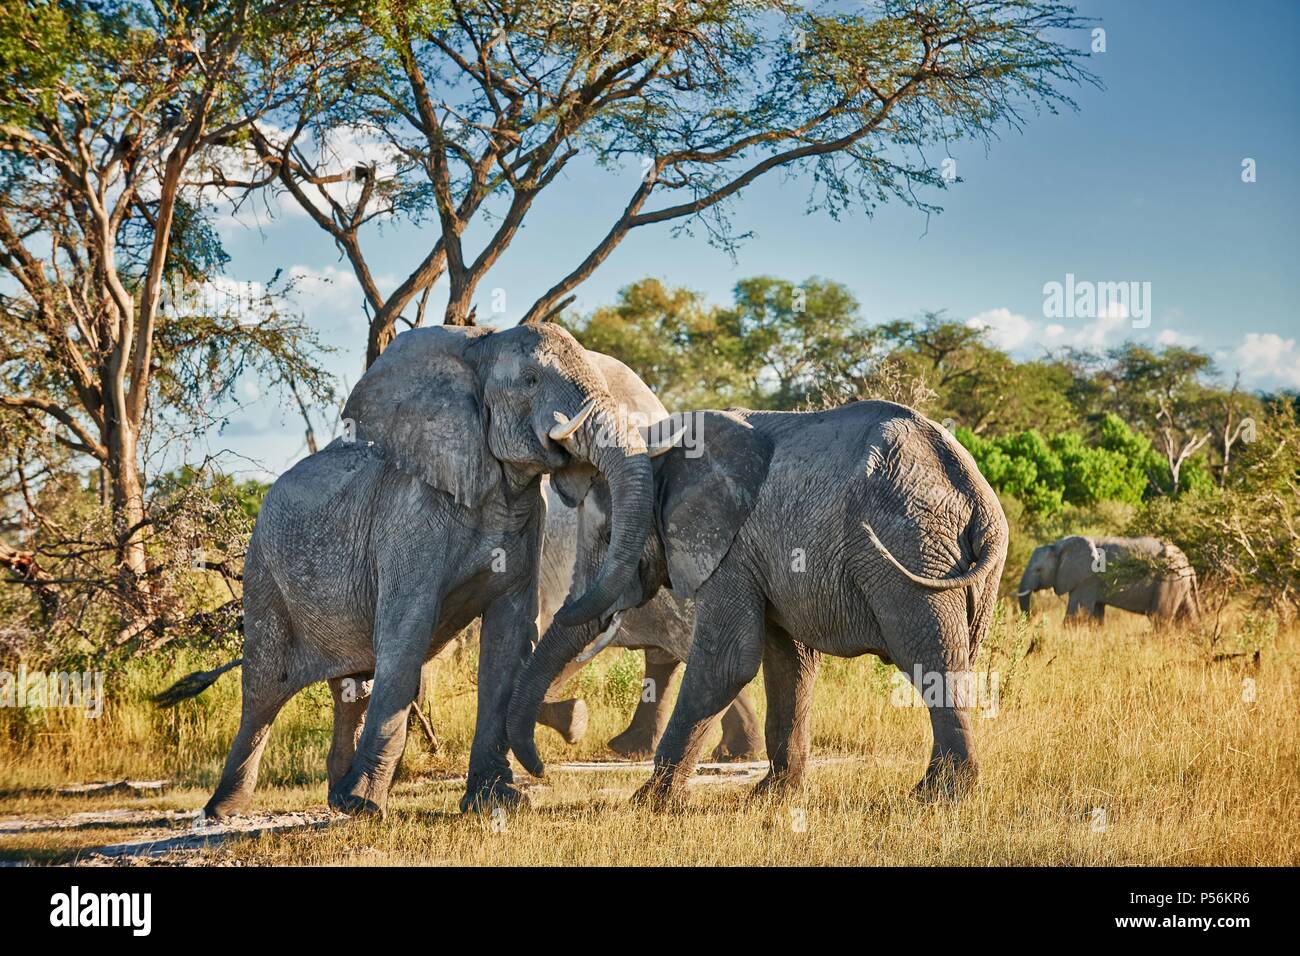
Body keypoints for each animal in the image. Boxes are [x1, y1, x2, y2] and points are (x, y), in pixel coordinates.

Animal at [197, 321, 654, 819]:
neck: (480, 346)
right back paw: (226, 809)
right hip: (263, 571)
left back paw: (337, 798)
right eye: (531, 381)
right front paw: (368, 807)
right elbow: (407, 632)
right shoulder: (410, 514)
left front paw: (496, 801)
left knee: (352, 687)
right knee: (264, 689)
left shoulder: (528, 516)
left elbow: (507, 635)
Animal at [509, 400, 1009, 807]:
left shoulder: (729, 549)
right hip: (959, 564)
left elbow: (727, 663)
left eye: (611, 536)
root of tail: (971, 487)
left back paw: (940, 797)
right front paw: (772, 797)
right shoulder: (761, 557)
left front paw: (647, 803)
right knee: (956, 661)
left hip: (913, 549)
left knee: (930, 660)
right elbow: (789, 661)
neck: (662, 446)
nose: (542, 772)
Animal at [1017, 535, 1200, 625]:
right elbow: (1096, 616)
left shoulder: (1088, 578)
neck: (1059, 546)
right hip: (1178, 583)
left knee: (1159, 618)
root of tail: (1188, 564)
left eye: (1038, 570)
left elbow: (1076, 614)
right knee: (1187, 616)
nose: (1030, 620)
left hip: (1168, 580)